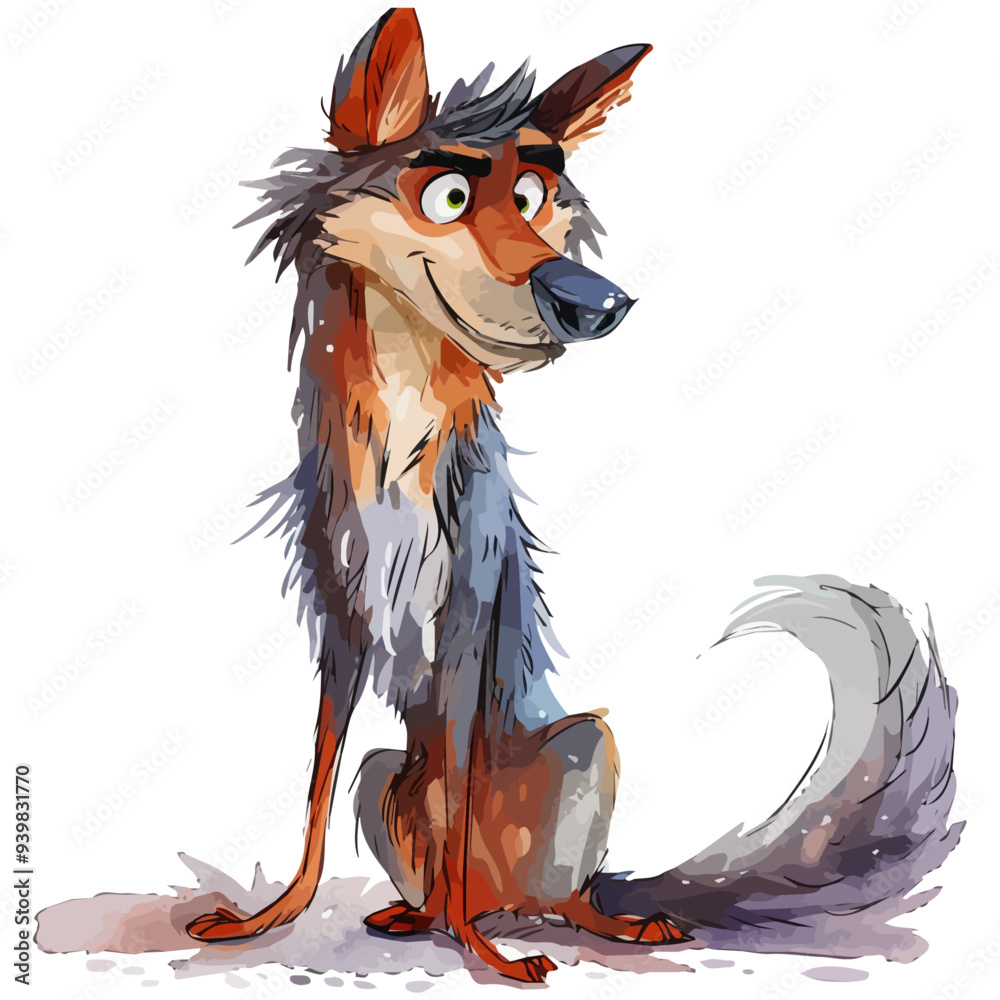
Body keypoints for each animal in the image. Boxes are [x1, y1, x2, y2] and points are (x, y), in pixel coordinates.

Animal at [187, 9, 962, 982]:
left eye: (531, 198)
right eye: (449, 195)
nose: (598, 301)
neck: (401, 432)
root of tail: (512, 888)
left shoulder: (470, 608)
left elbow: (458, 766)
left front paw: (480, 956)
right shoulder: (340, 618)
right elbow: (318, 788)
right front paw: (274, 917)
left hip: (586, 750)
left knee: (556, 891)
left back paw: (571, 923)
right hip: (387, 774)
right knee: (426, 845)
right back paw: (420, 917)